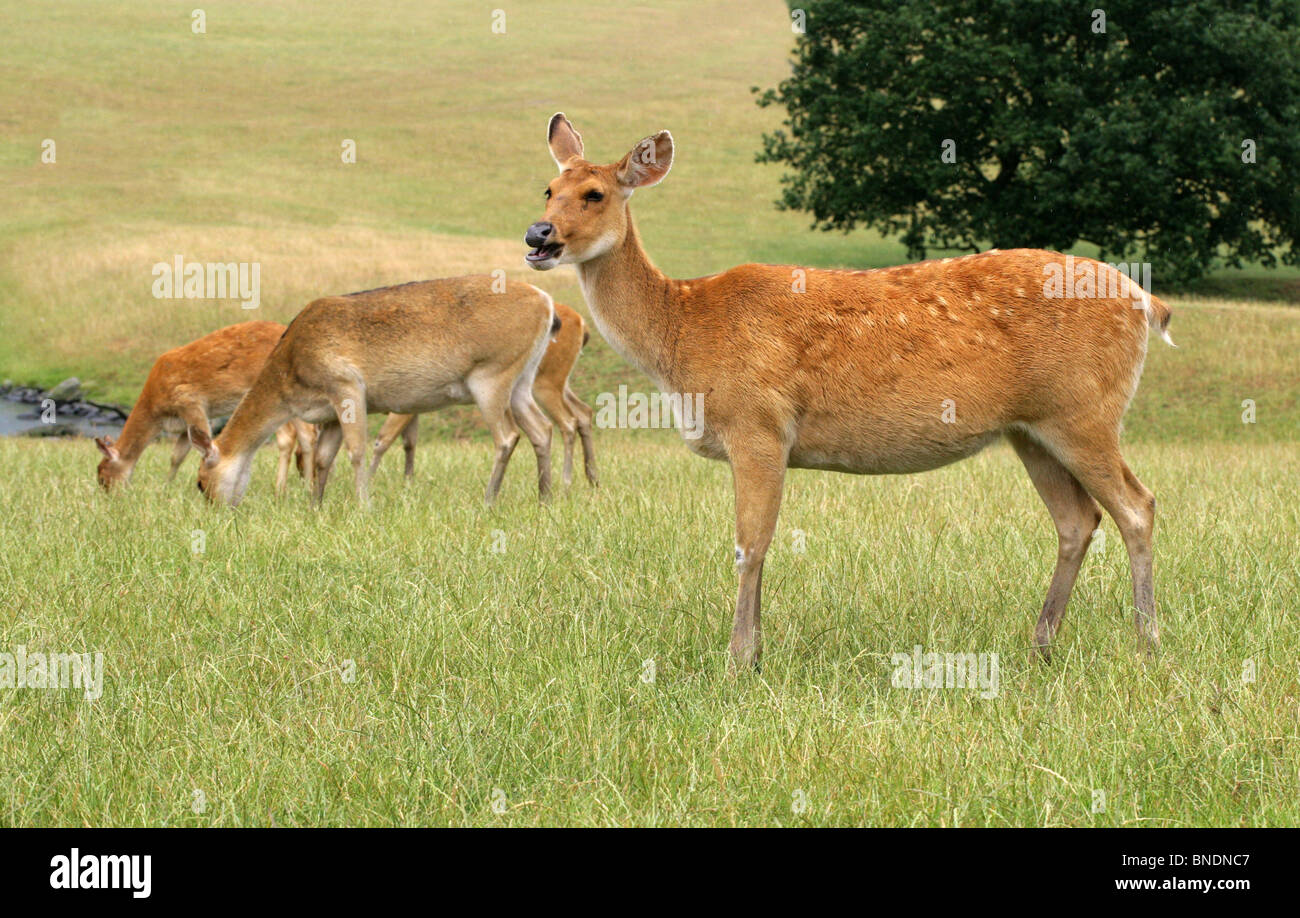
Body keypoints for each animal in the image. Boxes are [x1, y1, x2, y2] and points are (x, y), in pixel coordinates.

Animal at [94, 321, 315, 494]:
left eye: (102, 476)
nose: (108, 495)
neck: (157, 411)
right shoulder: (187, 421)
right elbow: (176, 455)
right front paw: (166, 487)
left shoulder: (190, 402)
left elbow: (199, 445)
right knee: (306, 433)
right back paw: (303, 486)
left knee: (289, 436)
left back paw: (284, 489)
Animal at [191, 276, 556, 507]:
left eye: (199, 482)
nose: (217, 511)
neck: (290, 378)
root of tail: (547, 302)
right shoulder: (329, 412)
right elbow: (323, 458)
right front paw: (314, 506)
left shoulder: (347, 385)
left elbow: (356, 451)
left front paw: (363, 505)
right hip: (523, 379)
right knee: (542, 428)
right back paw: (545, 499)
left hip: (492, 373)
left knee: (507, 436)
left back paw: (488, 500)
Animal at [366, 300, 598, 488]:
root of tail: (582, 325)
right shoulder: (411, 406)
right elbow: (409, 443)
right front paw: (407, 484)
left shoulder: (403, 404)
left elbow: (382, 441)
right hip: (558, 381)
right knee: (583, 411)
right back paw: (592, 479)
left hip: (546, 382)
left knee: (567, 421)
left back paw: (566, 483)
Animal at [525, 113, 1175, 669]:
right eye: (548, 189)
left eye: (594, 194)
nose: (538, 234)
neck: (683, 337)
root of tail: (1147, 303)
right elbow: (759, 545)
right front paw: (754, 653)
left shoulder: (757, 424)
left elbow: (749, 545)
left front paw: (737, 660)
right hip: (1031, 428)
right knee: (1078, 519)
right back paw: (1040, 644)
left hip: (1085, 410)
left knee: (1136, 506)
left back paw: (1146, 643)